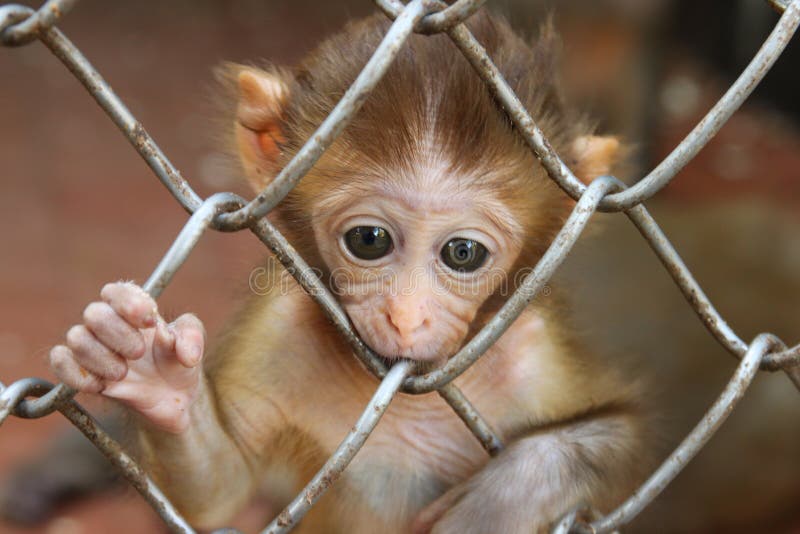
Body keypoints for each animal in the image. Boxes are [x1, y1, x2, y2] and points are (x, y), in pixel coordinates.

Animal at [45, 12, 652, 533]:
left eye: (463, 253)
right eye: (368, 241)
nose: (406, 318)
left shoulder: (533, 350)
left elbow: (626, 445)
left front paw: (505, 502)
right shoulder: (279, 329)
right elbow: (216, 494)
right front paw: (149, 370)